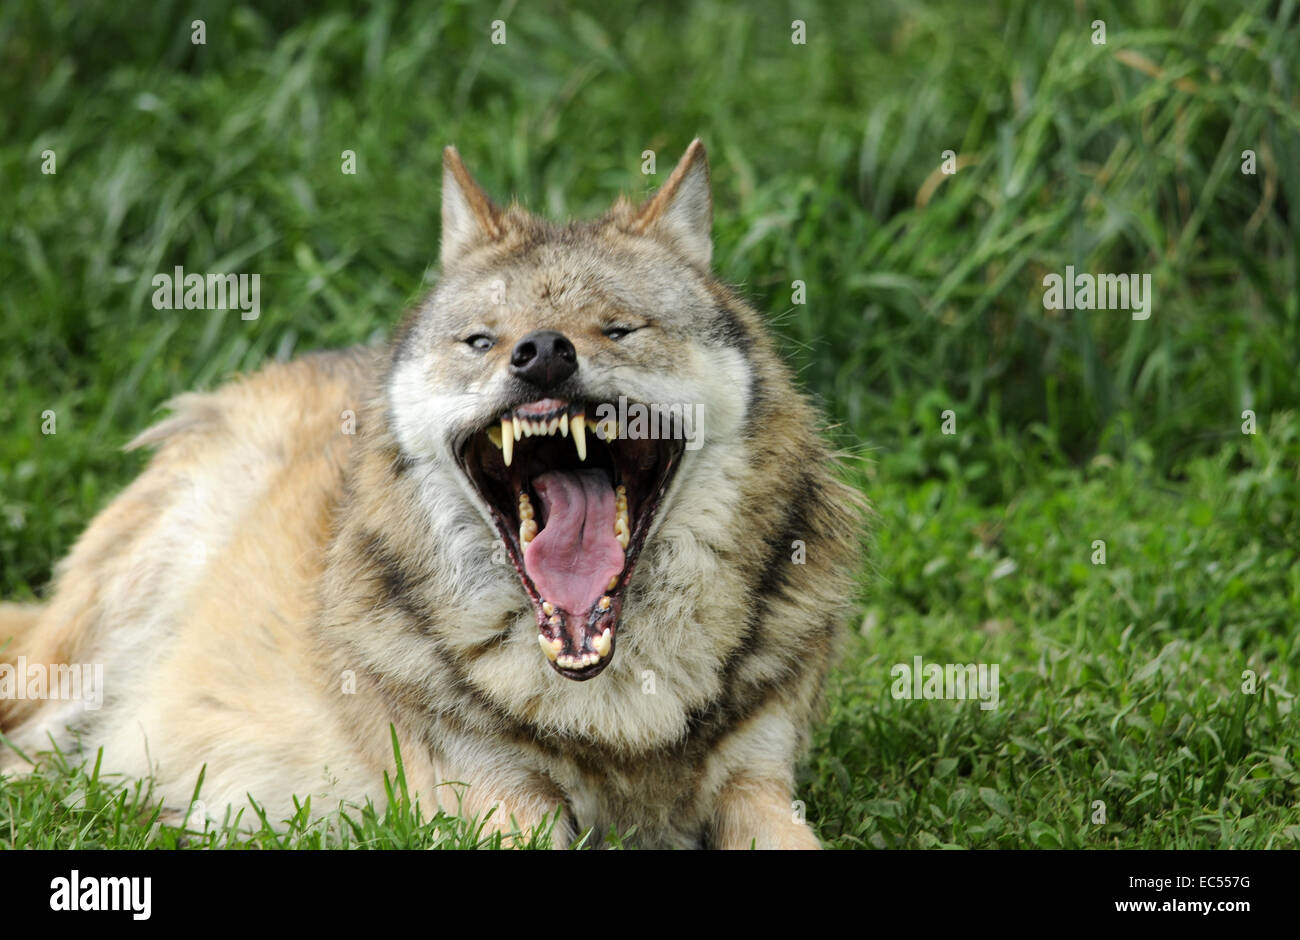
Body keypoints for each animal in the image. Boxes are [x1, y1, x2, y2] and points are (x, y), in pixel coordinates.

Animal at [0, 141, 864, 848]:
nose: (541, 351)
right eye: (481, 341)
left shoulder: (759, 784)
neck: (614, 705)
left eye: (619, 329)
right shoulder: (500, 800)